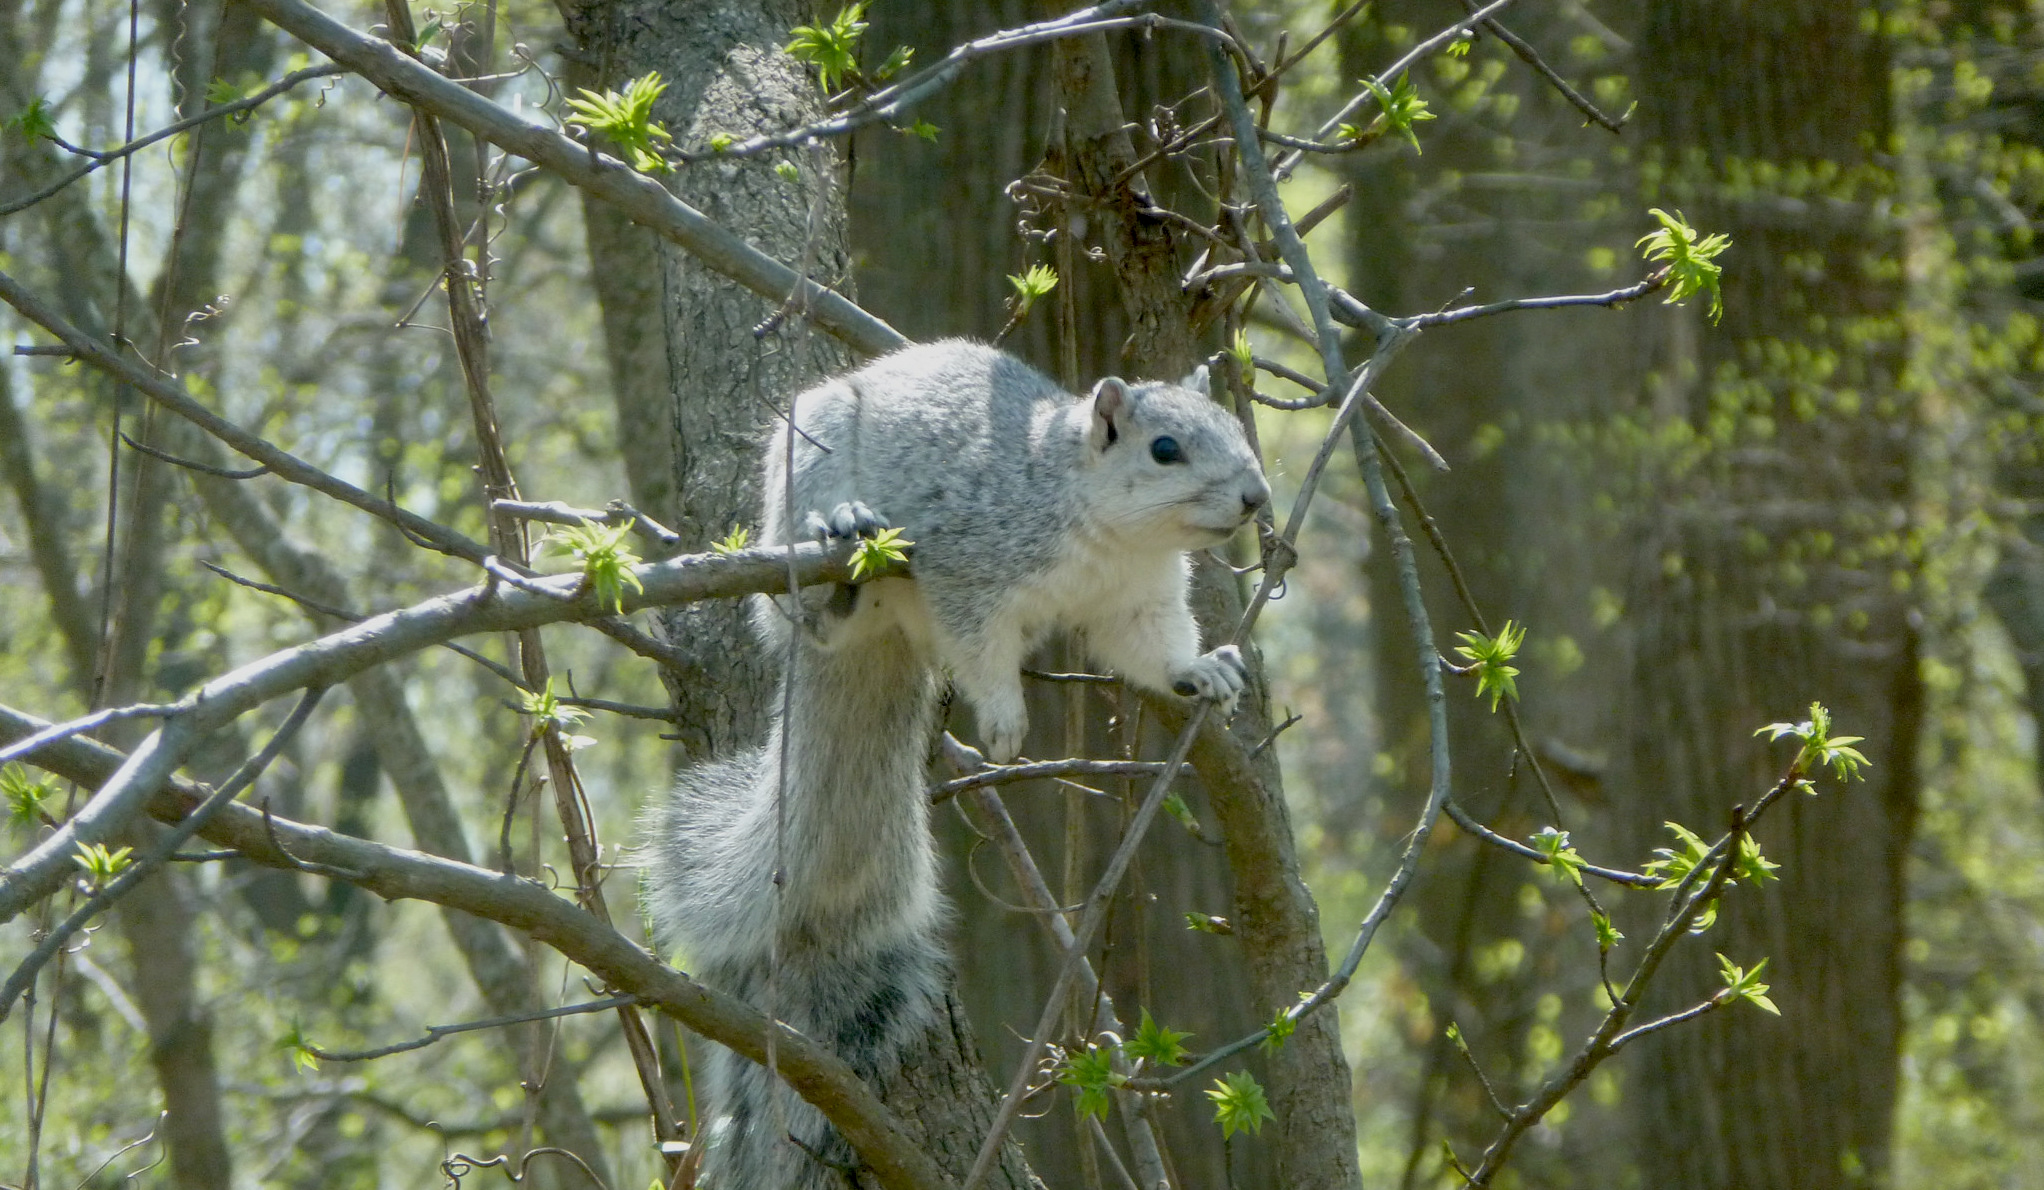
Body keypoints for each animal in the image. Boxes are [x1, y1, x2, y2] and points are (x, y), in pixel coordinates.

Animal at [644, 339, 1270, 1187]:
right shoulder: (968, 565)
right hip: (803, 493)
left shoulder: (1136, 599)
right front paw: (1004, 721)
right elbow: (981, 648)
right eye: (1164, 449)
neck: (1107, 530)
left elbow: (1153, 650)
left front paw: (1201, 672)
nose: (1256, 498)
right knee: (806, 615)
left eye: (1234, 426)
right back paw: (841, 546)